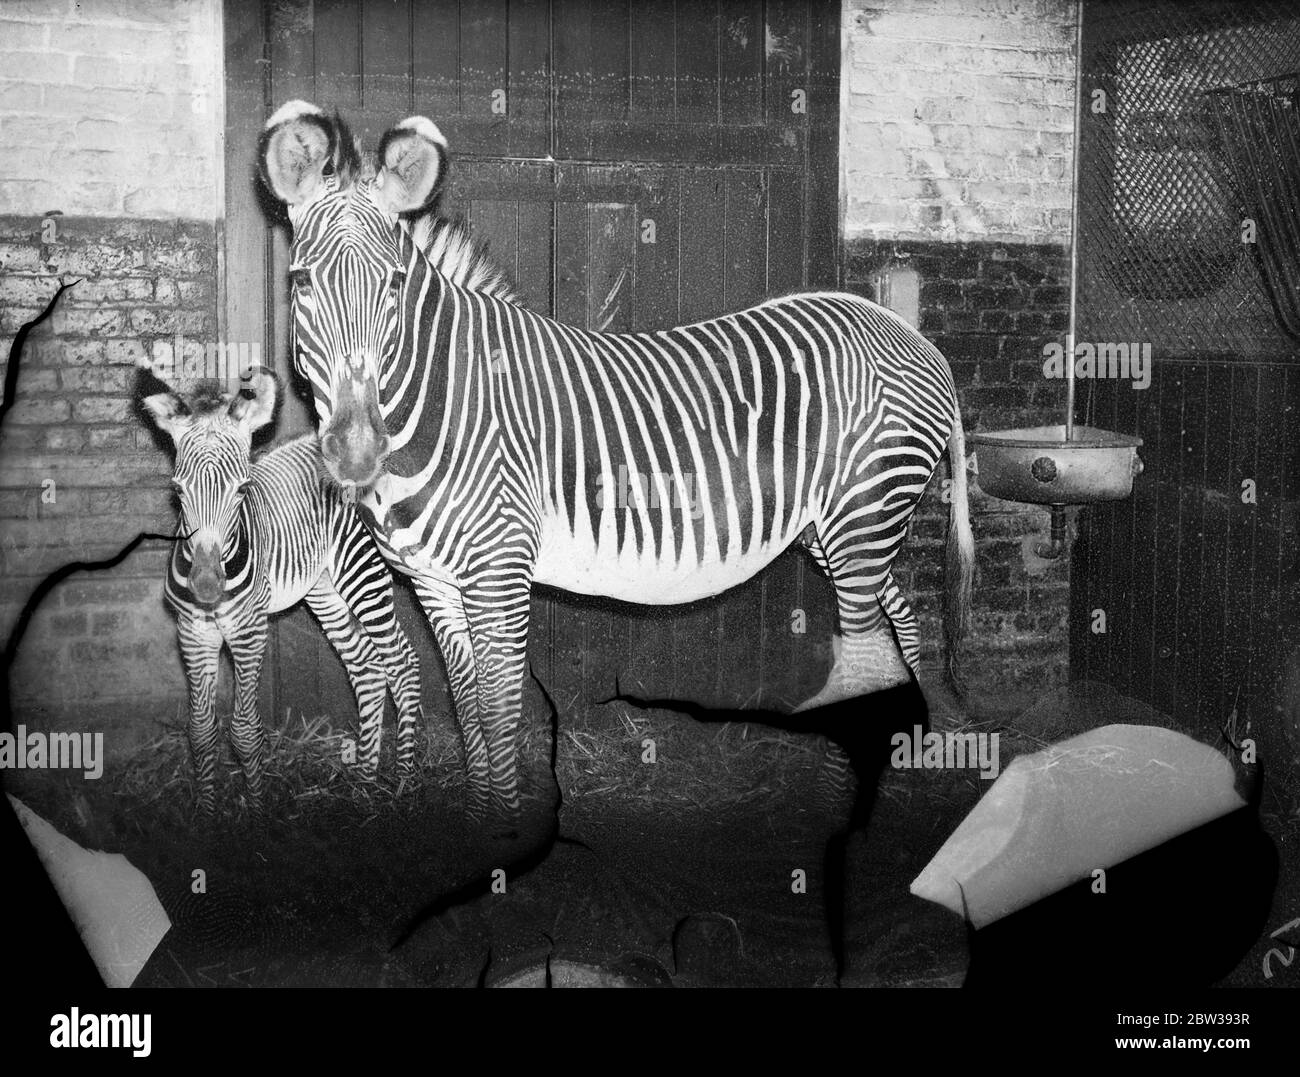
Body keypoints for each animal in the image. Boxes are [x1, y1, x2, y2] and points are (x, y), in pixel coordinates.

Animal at [142, 368, 423, 816]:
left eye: (242, 490)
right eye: (178, 491)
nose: (206, 587)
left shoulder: (249, 632)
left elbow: (243, 729)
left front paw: (257, 811)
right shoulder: (193, 632)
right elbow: (200, 729)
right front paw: (205, 814)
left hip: (363, 572)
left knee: (402, 664)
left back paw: (402, 785)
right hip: (323, 588)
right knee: (367, 668)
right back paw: (363, 784)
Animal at [257, 101, 975, 824]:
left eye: (395, 285)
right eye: (300, 282)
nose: (356, 453)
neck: (439, 401)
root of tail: (909, 333)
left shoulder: (499, 570)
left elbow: (497, 710)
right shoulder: (434, 581)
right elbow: (465, 706)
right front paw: (481, 820)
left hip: (863, 517)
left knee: (866, 654)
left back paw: (834, 807)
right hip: (833, 531)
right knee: (897, 632)